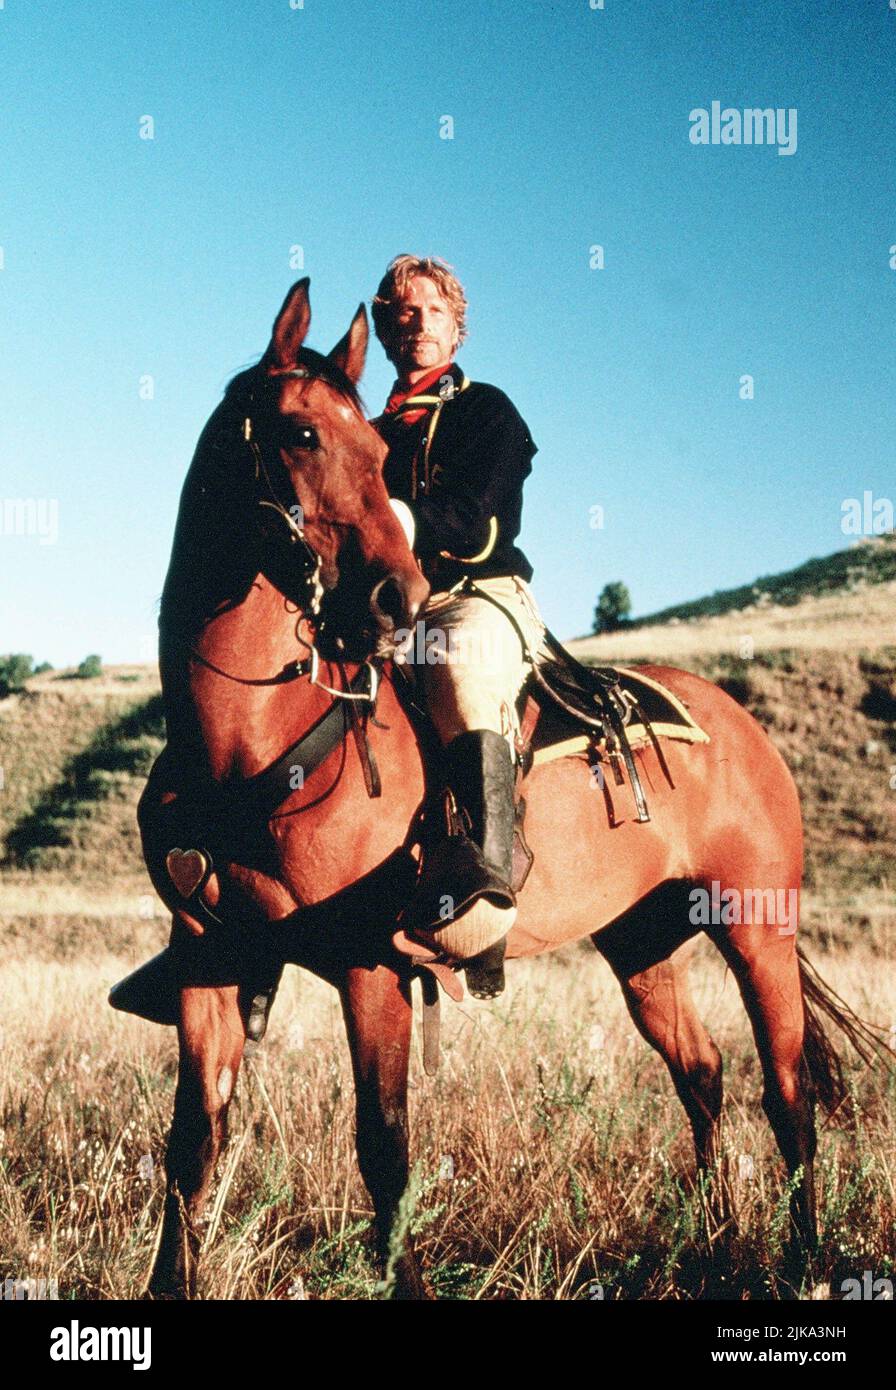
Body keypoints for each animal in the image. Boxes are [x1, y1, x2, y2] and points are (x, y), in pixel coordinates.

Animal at [116, 278, 875, 1300]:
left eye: (378, 456)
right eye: (302, 434)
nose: (393, 599)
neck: (244, 746)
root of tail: (742, 725)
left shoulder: (372, 968)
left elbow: (385, 1148)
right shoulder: (210, 961)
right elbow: (192, 1146)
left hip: (758, 928)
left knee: (787, 1093)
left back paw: (805, 1263)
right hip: (642, 942)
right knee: (702, 1074)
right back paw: (718, 1240)